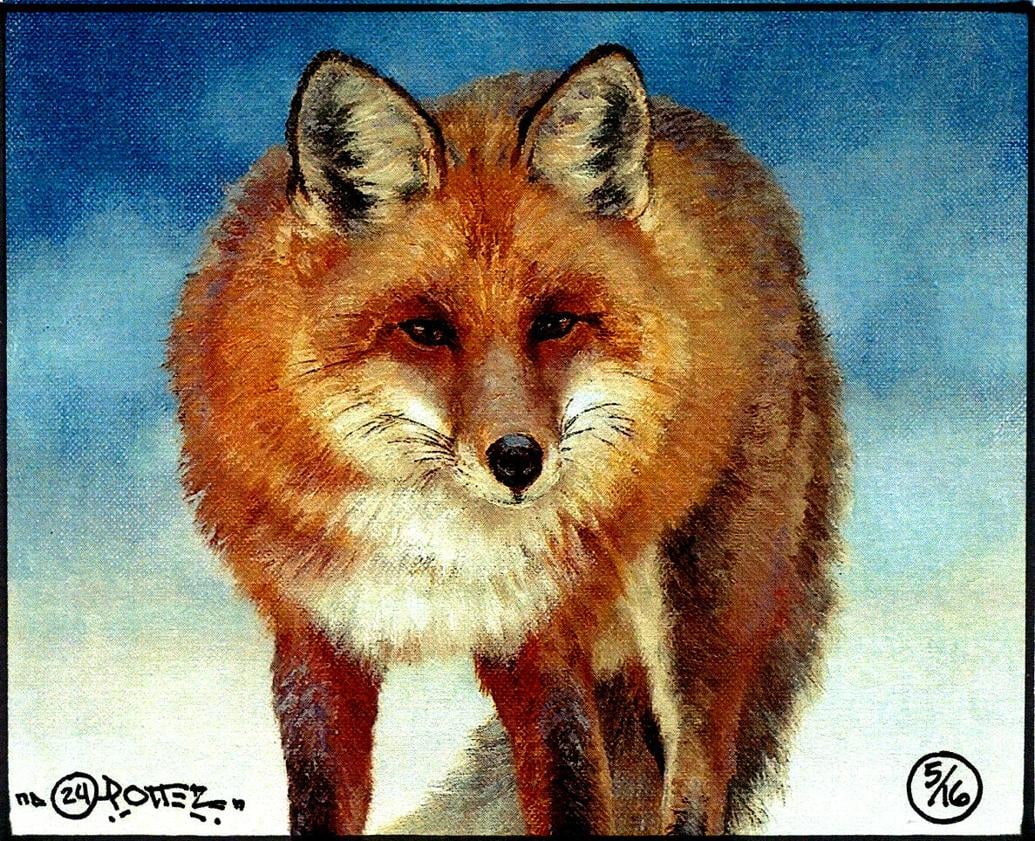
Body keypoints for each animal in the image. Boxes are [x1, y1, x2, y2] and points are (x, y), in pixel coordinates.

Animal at [167, 44, 846, 835]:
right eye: (425, 330)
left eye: (555, 323)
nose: (518, 459)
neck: (435, 543)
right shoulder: (320, 636)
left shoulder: (542, 639)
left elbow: (573, 796)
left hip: (698, 603)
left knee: (695, 779)